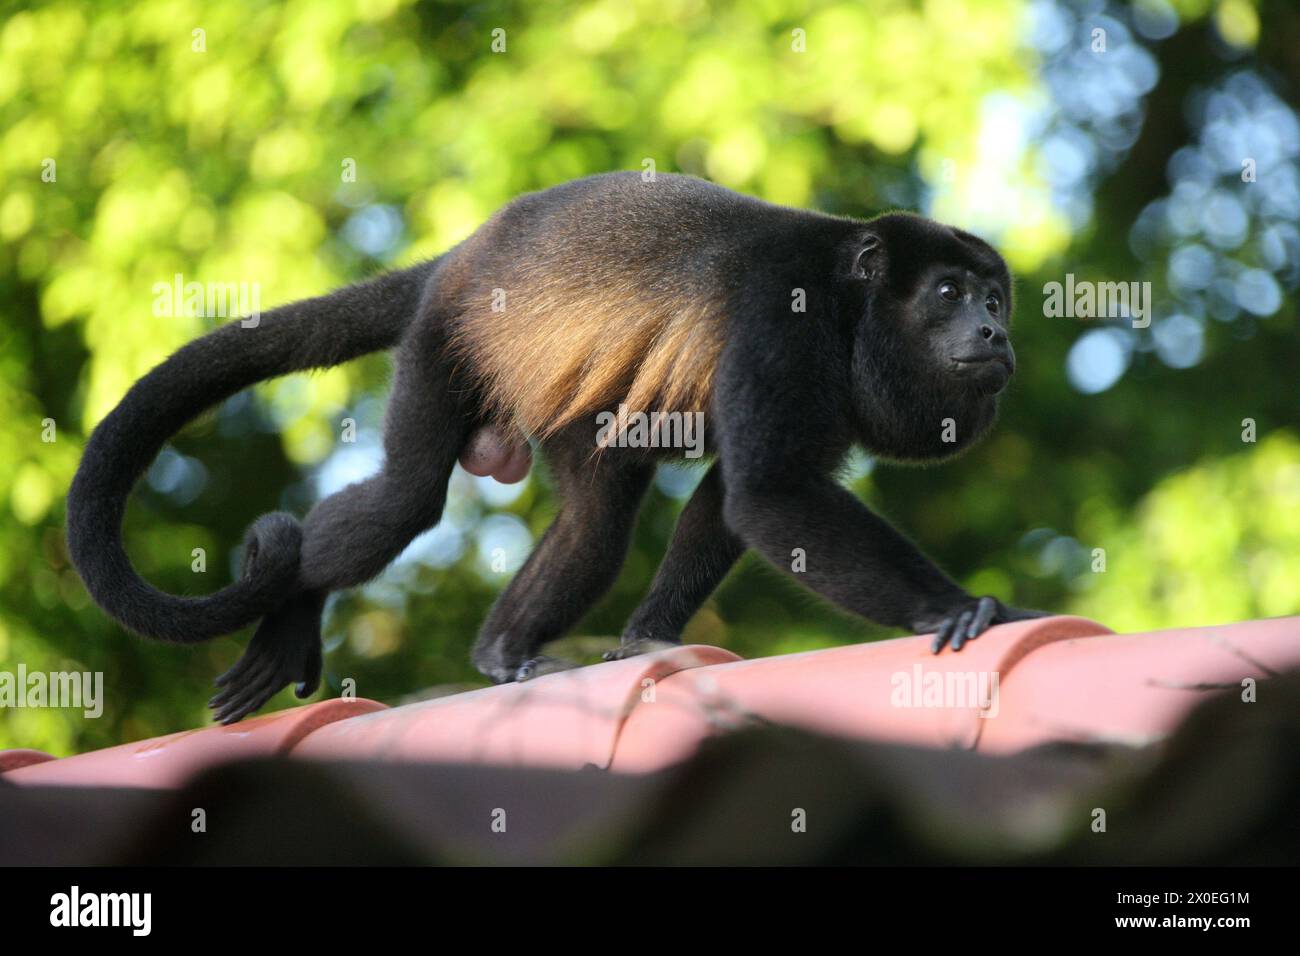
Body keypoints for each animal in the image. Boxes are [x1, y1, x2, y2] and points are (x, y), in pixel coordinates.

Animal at [66, 172, 1049, 723]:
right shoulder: (785, 312)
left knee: (599, 514)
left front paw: (648, 637)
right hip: (447, 343)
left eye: (994, 297)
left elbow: (736, 496)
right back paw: (295, 606)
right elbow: (771, 491)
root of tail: (457, 258)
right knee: (403, 500)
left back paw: (503, 651)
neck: (851, 300)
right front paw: (958, 610)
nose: (996, 332)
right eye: (951, 292)